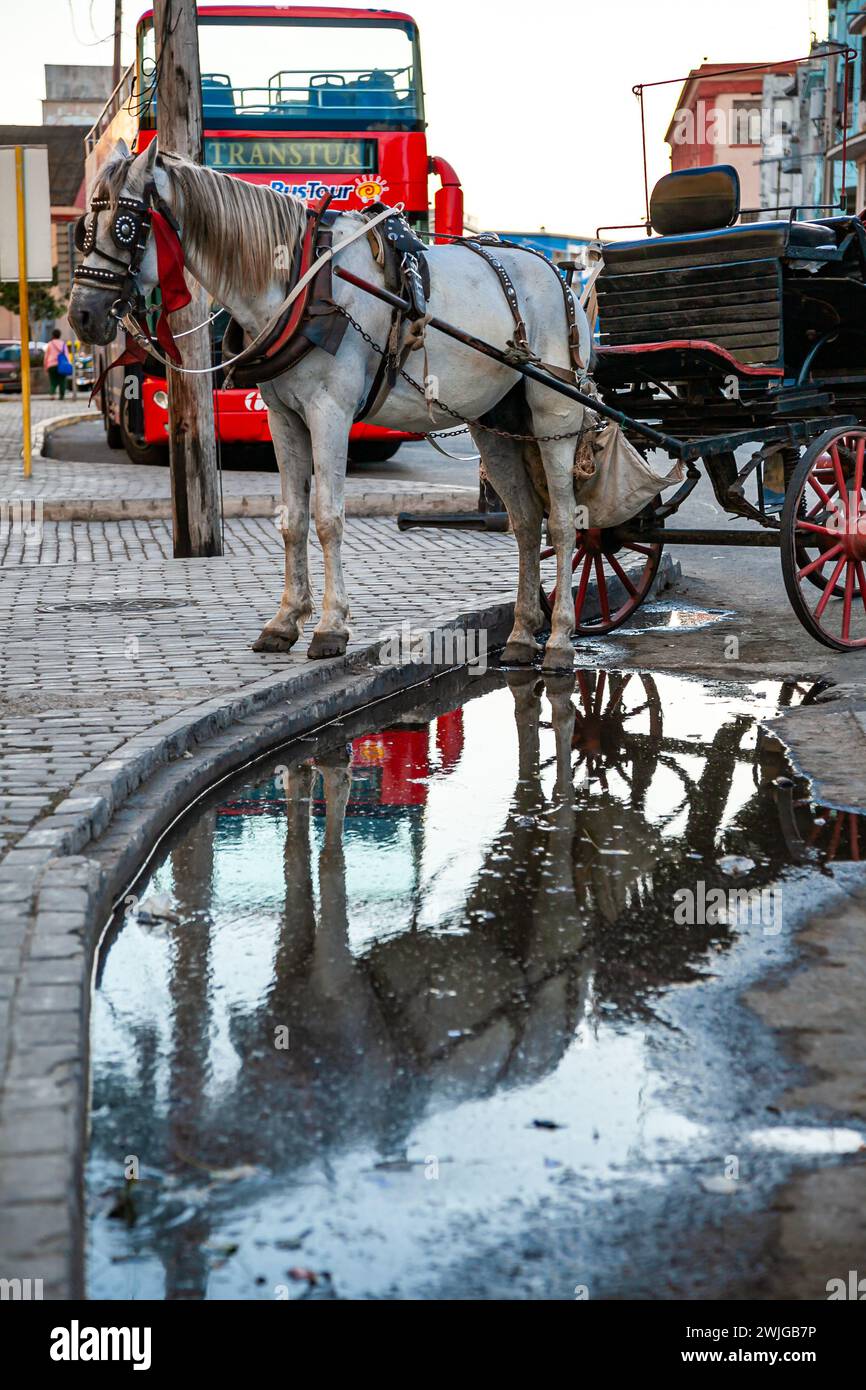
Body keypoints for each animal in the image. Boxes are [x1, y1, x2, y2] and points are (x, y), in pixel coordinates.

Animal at [68, 139, 591, 670]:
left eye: (126, 225)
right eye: (84, 228)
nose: (82, 315)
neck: (301, 283)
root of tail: (558, 272)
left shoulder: (330, 414)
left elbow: (328, 518)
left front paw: (329, 627)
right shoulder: (284, 418)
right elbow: (294, 520)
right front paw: (284, 622)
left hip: (556, 413)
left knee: (564, 520)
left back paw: (559, 639)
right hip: (493, 421)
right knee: (525, 519)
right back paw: (523, 634)